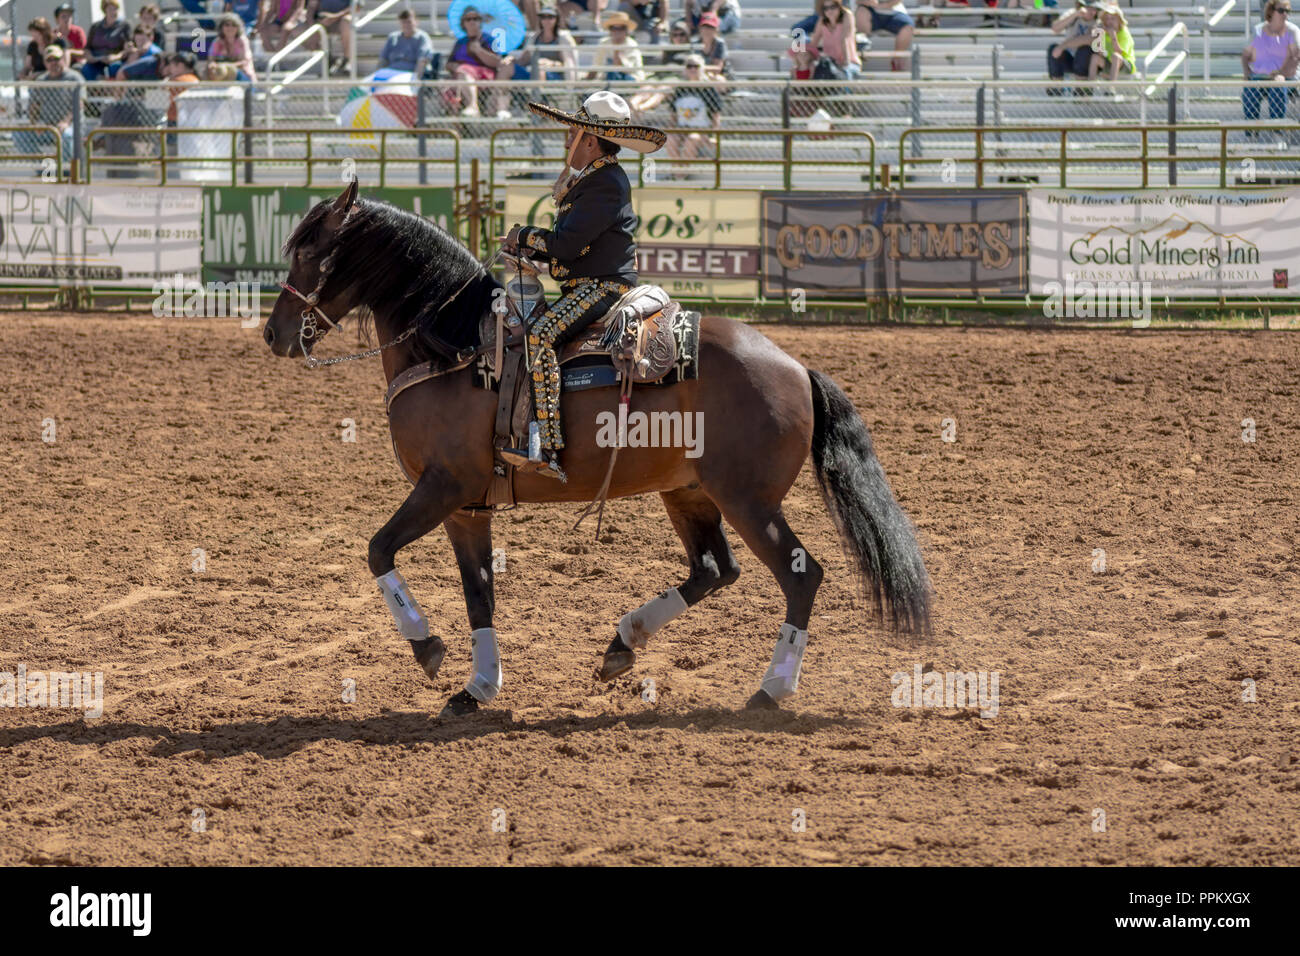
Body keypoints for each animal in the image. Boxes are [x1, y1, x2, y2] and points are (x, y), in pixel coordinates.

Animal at [262, 180, 933, 717]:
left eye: (311, 252)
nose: (273, 334)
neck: (452, 347)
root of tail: (795, 367)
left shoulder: (442, 487)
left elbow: (378, 549)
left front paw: (426, 646)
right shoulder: (466, 506)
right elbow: (480, 593)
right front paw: (478, 686)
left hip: (748, 499)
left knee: (800, 576)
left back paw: (770, 690)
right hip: (688, 492)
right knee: (714, 569)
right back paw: (621, 645)